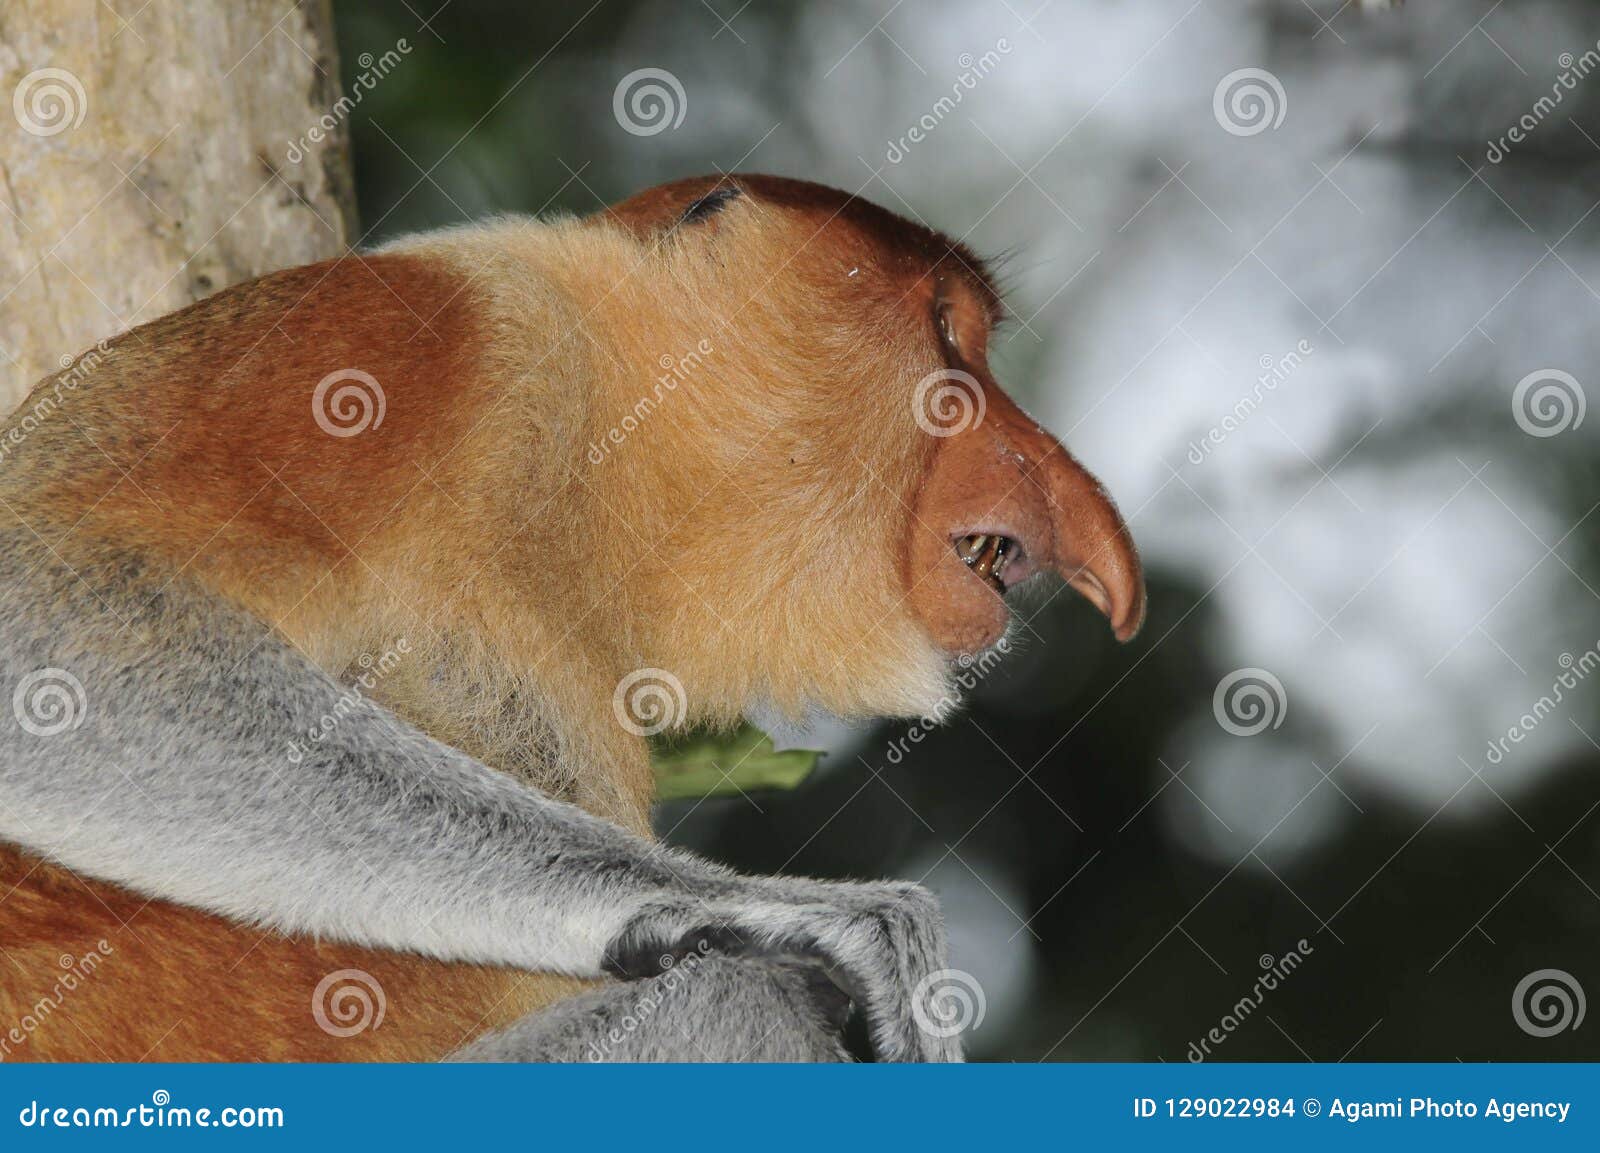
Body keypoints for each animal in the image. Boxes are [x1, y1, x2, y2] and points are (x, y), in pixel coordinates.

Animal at [0, 174, 1143, 1062]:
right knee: (745, 1001)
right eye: (949, 335)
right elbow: (39, 605)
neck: (601, 437)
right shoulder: (422, 335)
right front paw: (809, 917)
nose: (1045, 468)